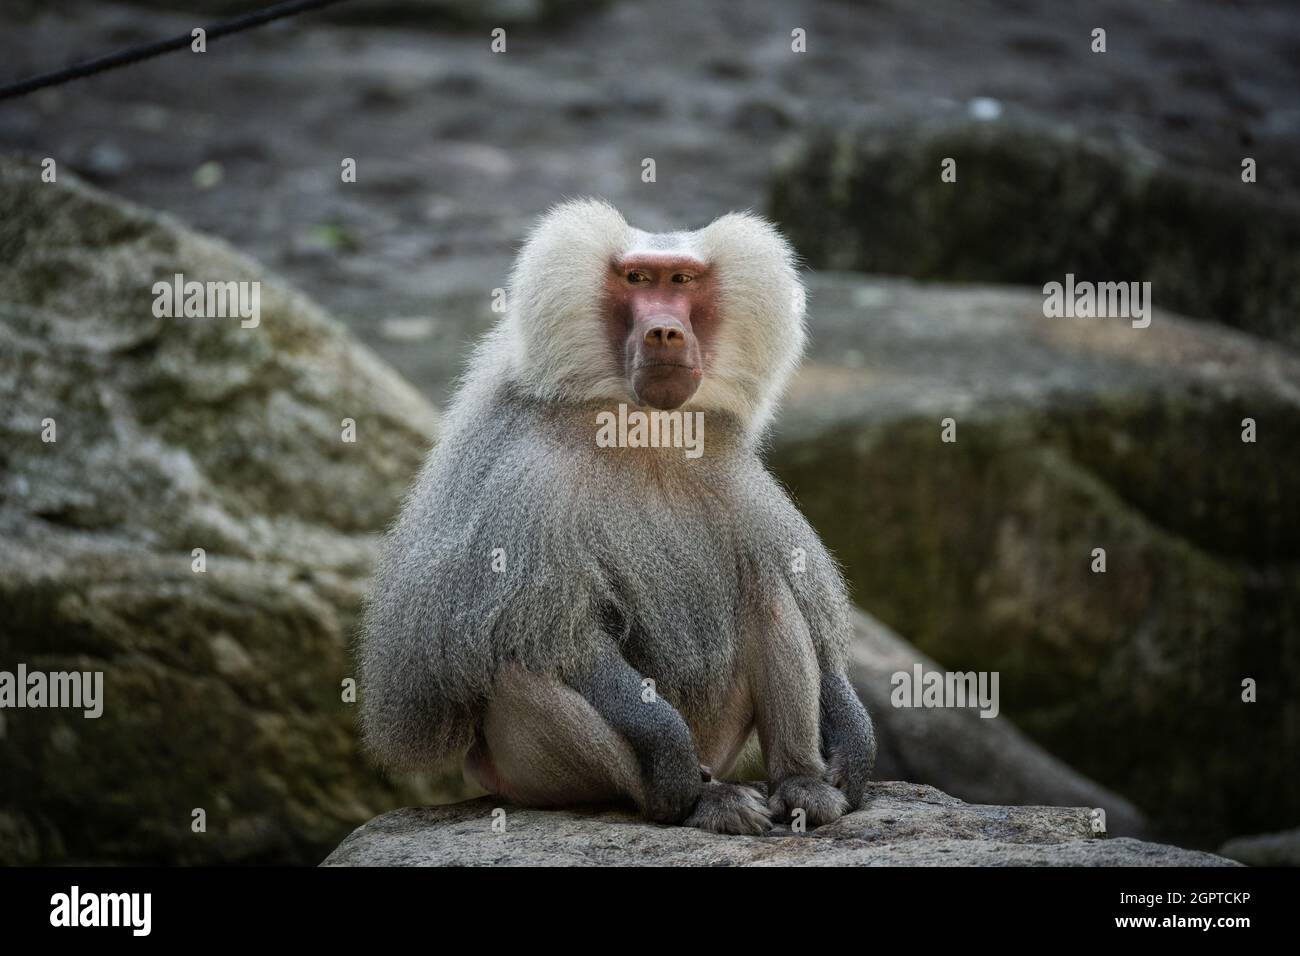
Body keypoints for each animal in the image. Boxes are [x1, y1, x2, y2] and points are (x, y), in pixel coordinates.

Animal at [359, 199, 876, 834]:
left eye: (679, 280)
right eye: (636, 279)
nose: (664, 330)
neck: (642, 426)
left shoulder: (732, 474)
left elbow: (799, 604)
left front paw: (851, 736)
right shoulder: (526, 478)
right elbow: (551, 634)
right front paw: (669, 756)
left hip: (719, 736)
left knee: (766, 585)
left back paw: (801, 786)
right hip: (526, 774)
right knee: (520, 660)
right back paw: (694, 798)